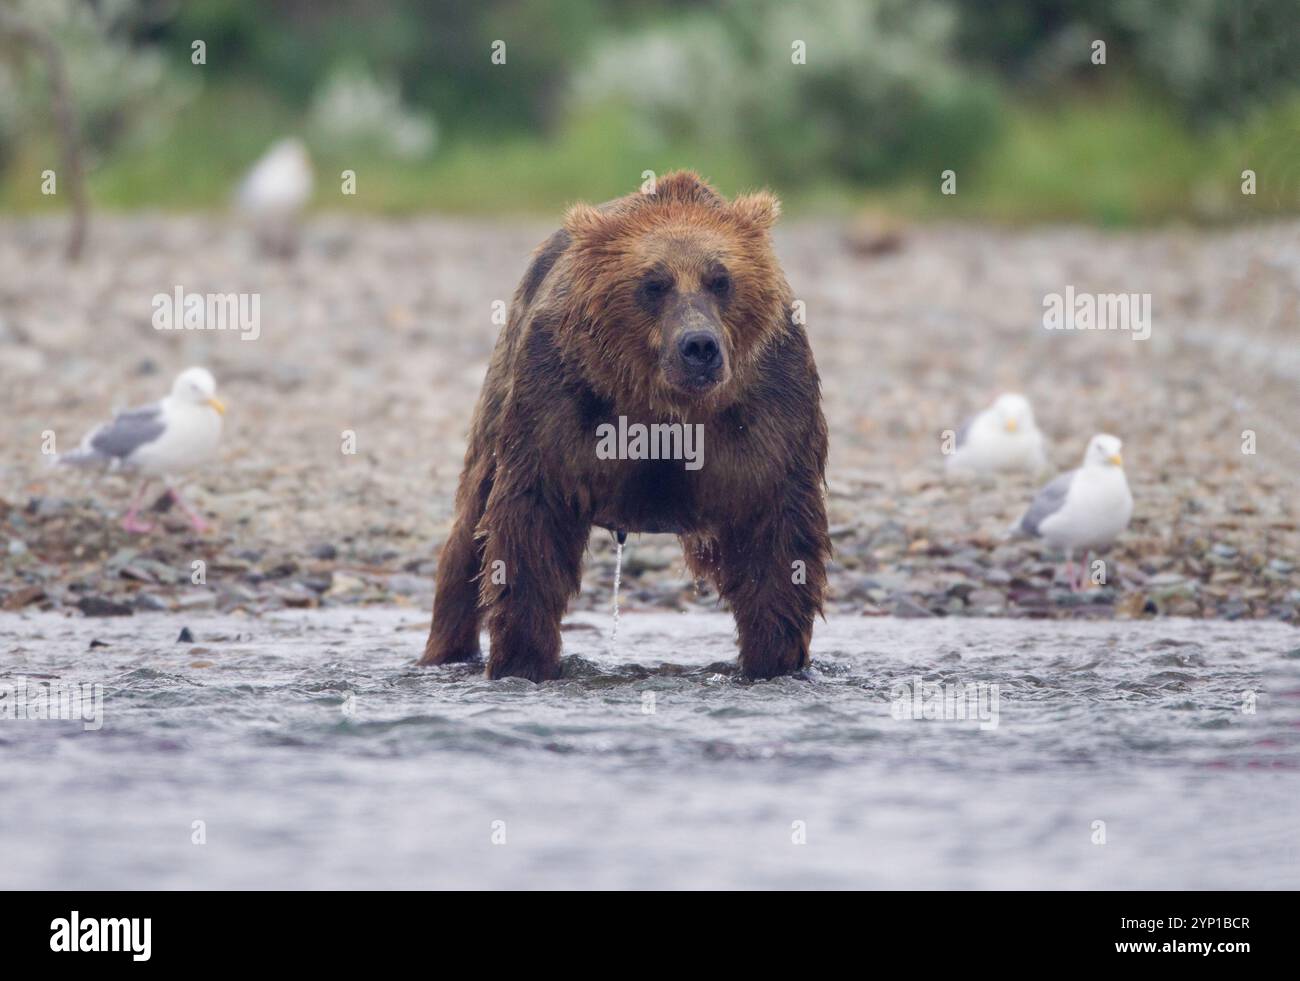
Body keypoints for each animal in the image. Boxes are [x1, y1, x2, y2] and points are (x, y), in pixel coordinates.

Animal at [421, 171, 830, 682]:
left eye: (721, 279)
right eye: (654, 283)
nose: (700, 346)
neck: (664, 406)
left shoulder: (770, 407)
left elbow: (779, 542)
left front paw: (775, 659)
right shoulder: (560, 397)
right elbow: (530, 526)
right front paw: (524, 660)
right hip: (501, 388)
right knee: (469, 525)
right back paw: (446, 651)